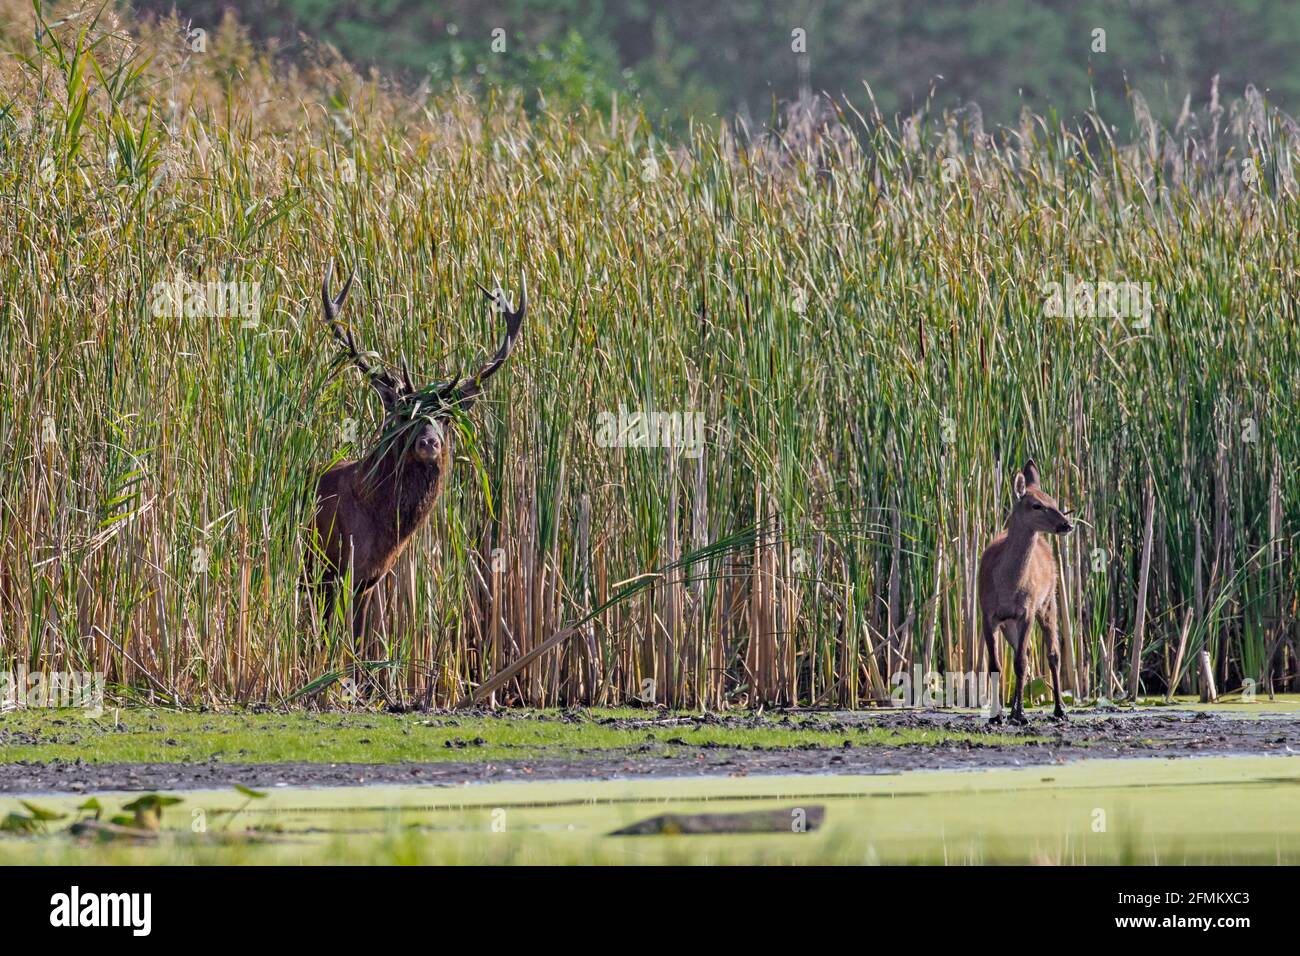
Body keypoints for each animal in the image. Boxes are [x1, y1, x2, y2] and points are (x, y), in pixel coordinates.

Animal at [308, 261, 525, 678]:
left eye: (446, 418)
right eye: (405, 415)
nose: (429, 443)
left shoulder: (368, 580)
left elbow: (357, 644)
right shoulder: (335, 569)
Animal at [977, 459, 1073, 725]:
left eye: (1053, 500)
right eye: (1036, 505)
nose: (1067, 524)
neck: (1006, 585)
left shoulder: (1027, 610)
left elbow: (1019, 663)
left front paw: (1020, 715)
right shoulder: (988, 613)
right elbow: (995, 665)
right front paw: (997, 716)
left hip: (1049, 602)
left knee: (1052, 654)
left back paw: (1059, 710)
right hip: (1010, 622)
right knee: (1028, 653)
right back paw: (1013, 710)